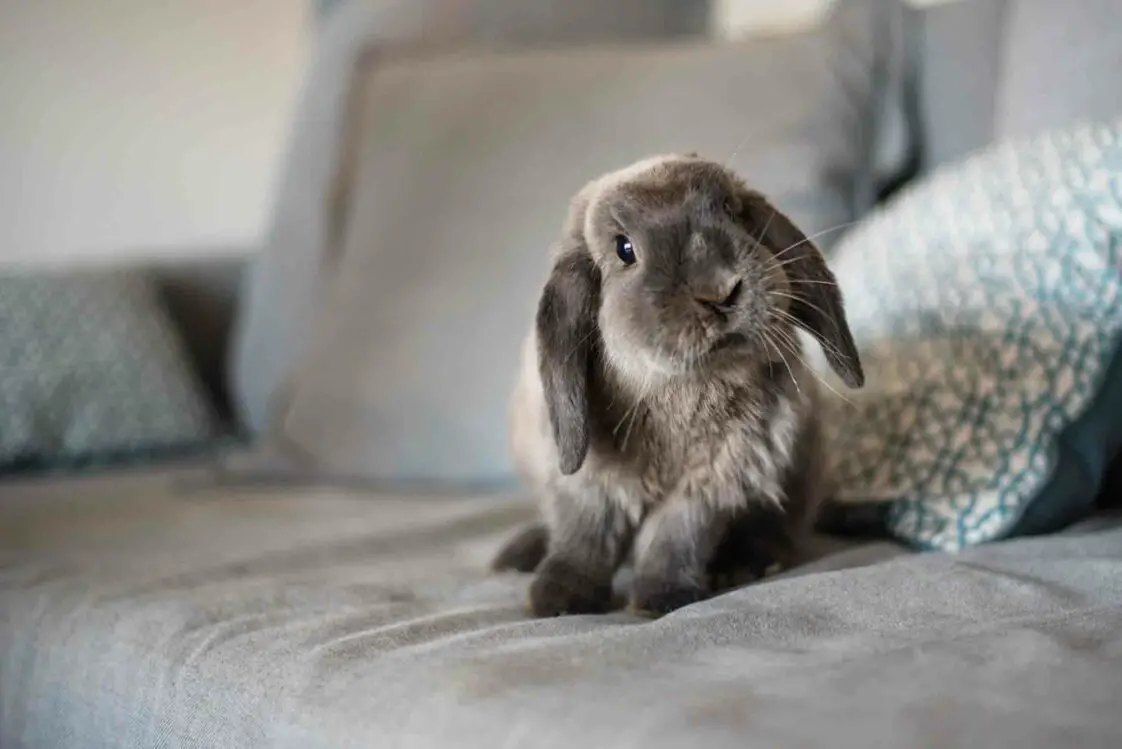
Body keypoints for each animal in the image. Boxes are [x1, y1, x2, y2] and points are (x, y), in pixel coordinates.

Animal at [492, 154, 864, 618]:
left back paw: (744, 565)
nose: (720, 291)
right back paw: (519, 555)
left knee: (779, 530)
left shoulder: (711, 483)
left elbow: (674, 537)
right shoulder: (588, 483)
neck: (681, 389)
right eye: (624, 249)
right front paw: (557, 600)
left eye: (732, 210)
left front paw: (661, 599)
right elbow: (584, 536)